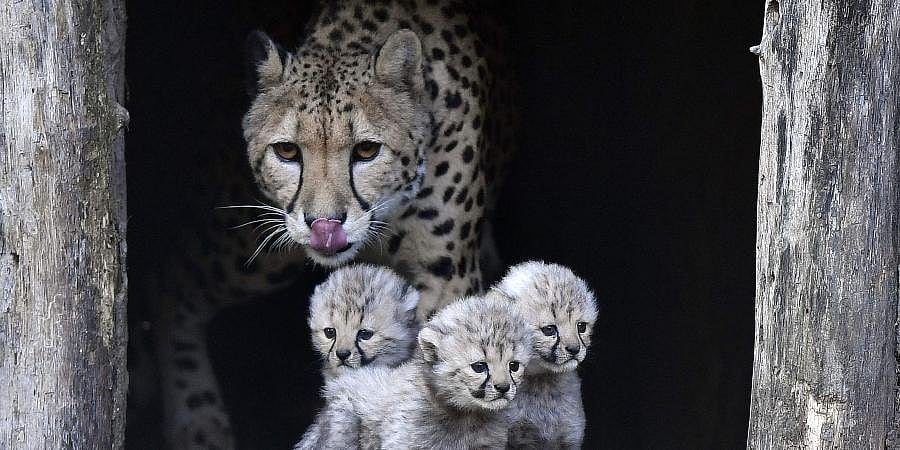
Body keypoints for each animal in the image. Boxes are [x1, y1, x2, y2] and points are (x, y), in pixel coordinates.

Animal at [133, 1, 517, 448]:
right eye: (286, 151)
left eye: (367, 150)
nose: (324, 225)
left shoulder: (443, 276)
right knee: (169, 281)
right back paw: (196, 418)